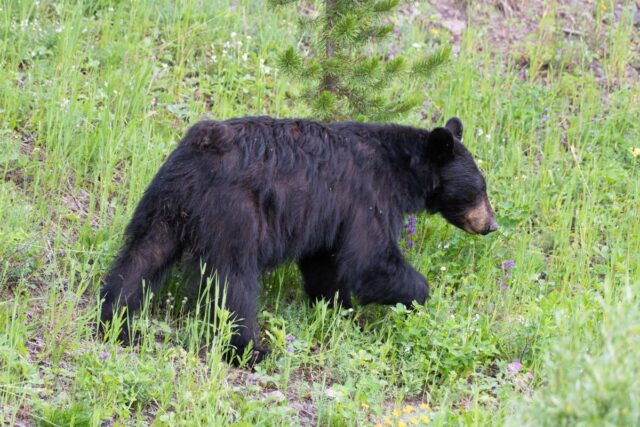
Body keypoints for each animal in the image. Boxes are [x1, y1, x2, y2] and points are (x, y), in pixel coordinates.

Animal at [100, 116, 497, 365]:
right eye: (479, 189)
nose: (491, 225)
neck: (400, 169)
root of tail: (200, 153)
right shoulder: (366, 198)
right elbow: (370, 262)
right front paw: (417, 295)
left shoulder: (327, 217)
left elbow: (324, 264)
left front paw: (337, 308)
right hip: (234, 212)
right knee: (233, 282)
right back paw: (250, 350)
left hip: (165, 206)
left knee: (141, 258)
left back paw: (116, 321)